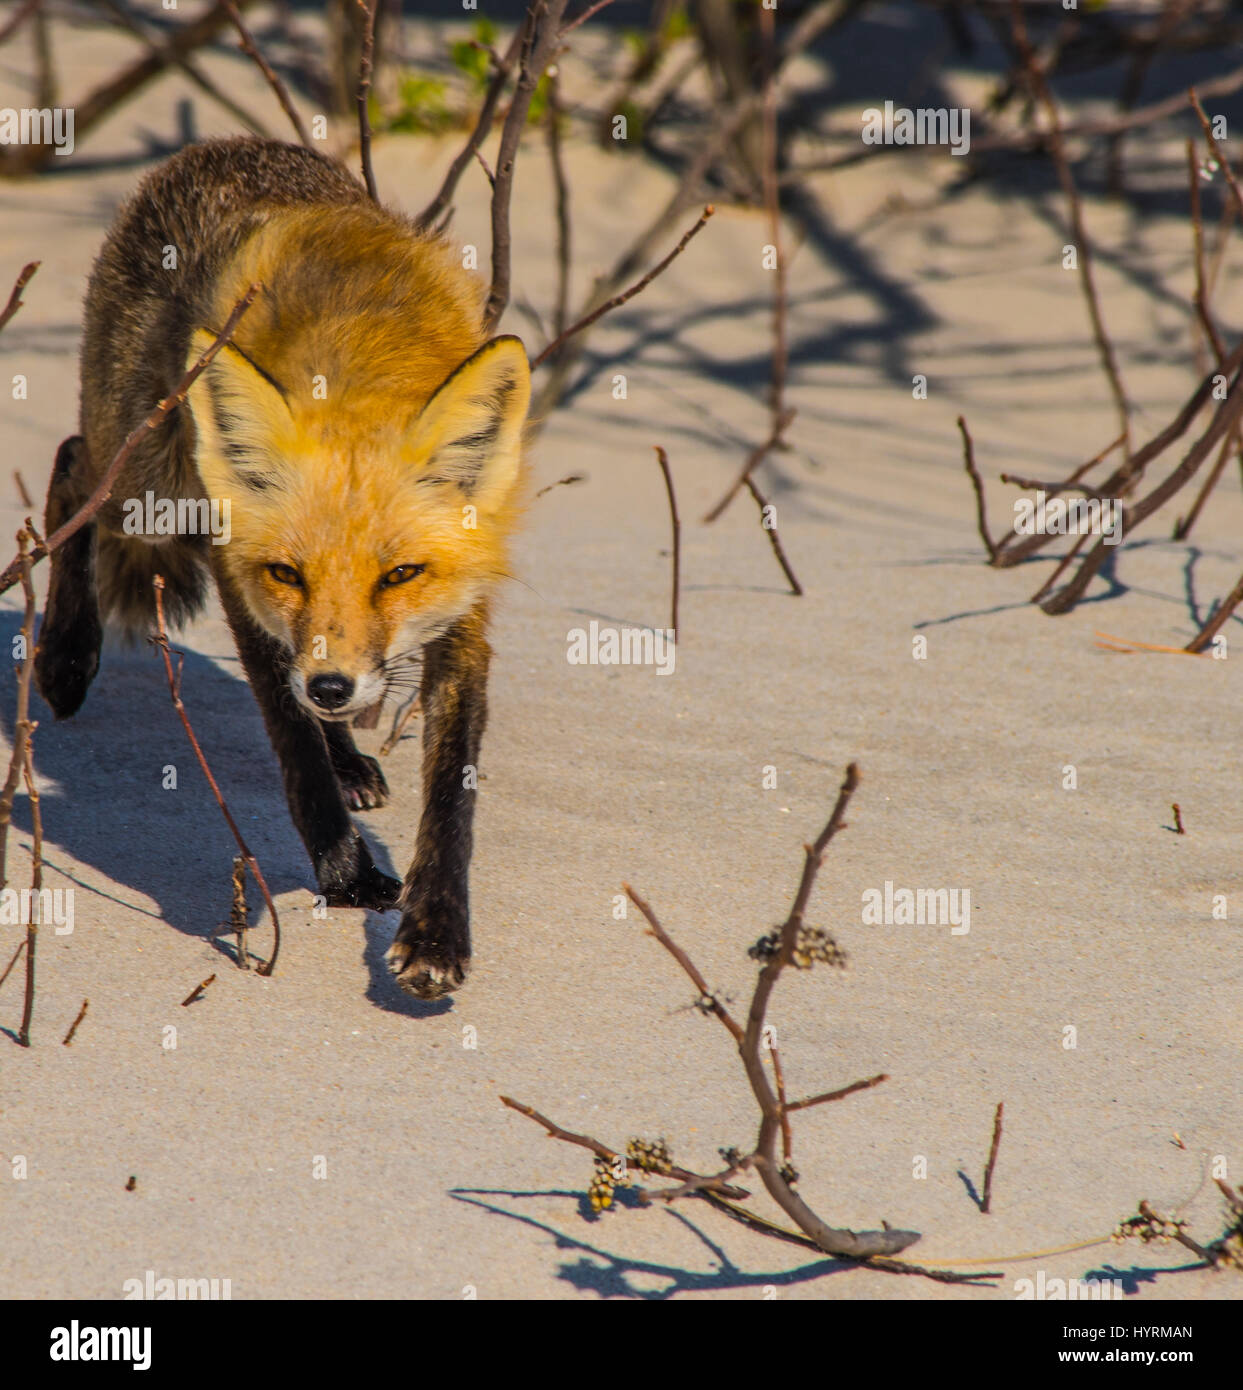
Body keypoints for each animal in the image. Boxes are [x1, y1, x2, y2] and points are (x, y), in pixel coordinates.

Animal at [33, 137, 532, 999]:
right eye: (287, 574)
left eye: (400, 576)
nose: (332, 685)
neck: (364, 356)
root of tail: (217, 148)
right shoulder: (240, 580)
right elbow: (294, 749)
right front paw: (345, 875)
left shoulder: (463, 613)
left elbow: (451, 793)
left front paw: (435, 931)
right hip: (151, 486)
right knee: (72, 468)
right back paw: (65, 657)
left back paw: (352, 757)